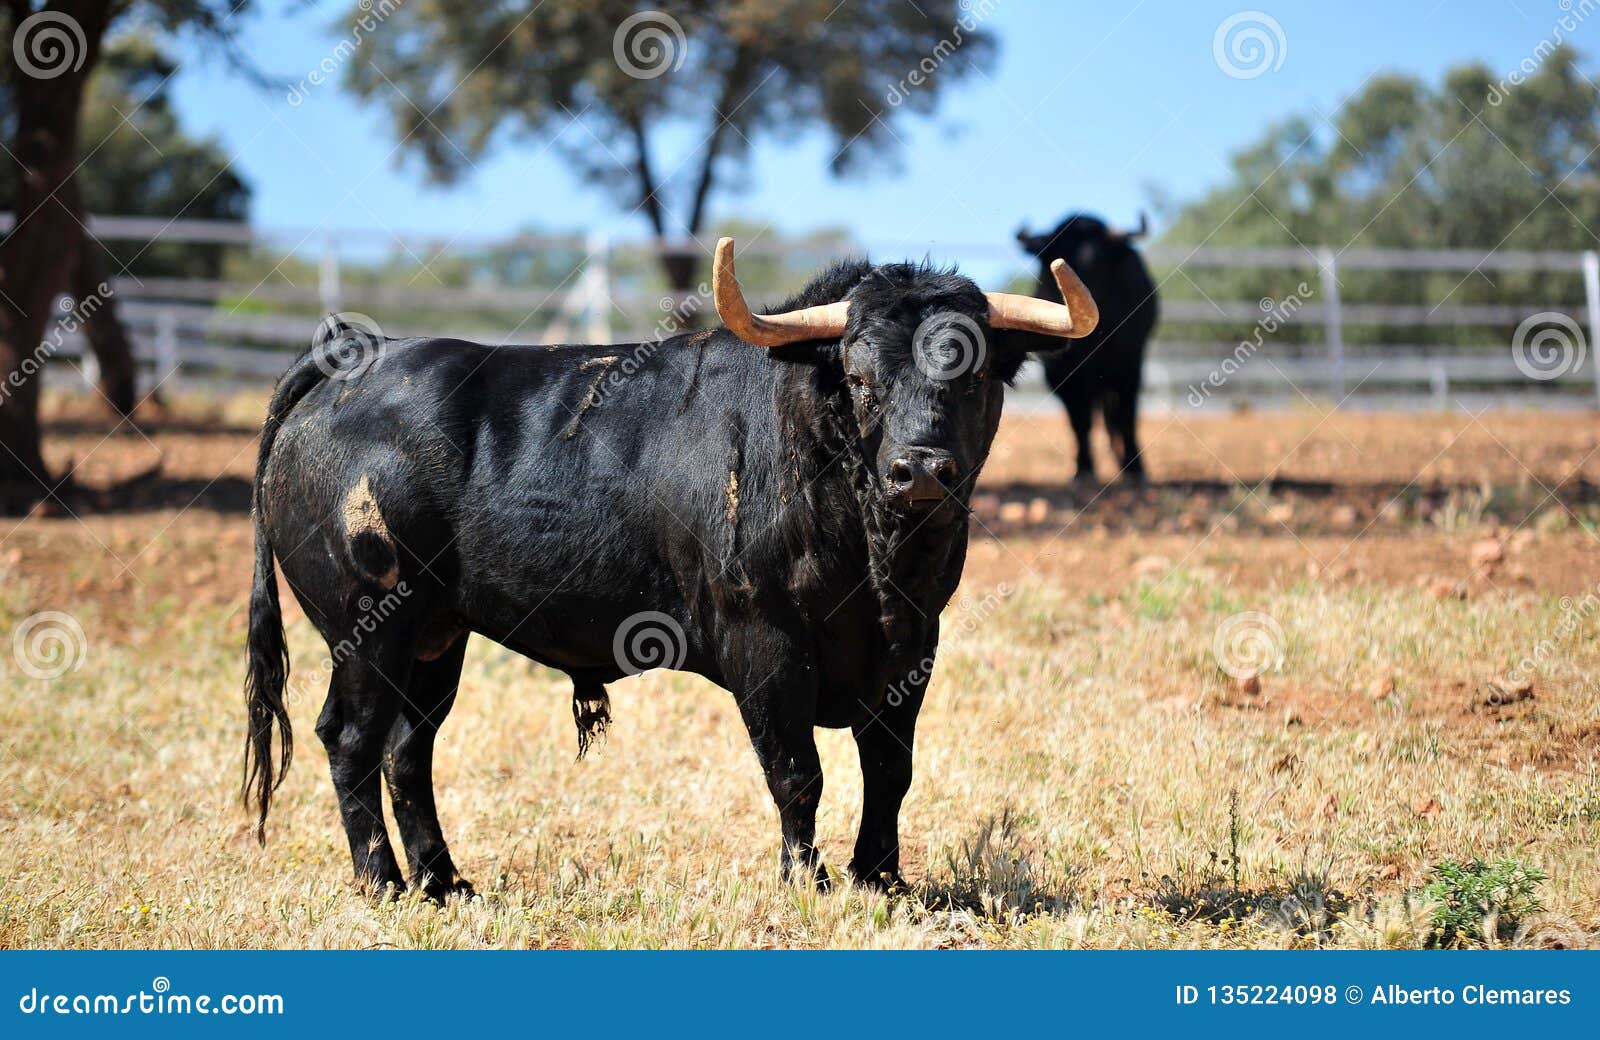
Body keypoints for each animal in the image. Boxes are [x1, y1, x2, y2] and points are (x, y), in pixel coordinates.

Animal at [242, 238, 1097, 900]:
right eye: (859, 376)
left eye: (974, 374)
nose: (918, 470)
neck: (873, 557)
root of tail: (352, 363)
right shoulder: (764, 645)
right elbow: (798, 770)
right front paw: (809, 882)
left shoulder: (913, 645)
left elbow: (890, 768)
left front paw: (880, 877)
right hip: (365, 626)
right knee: (351, 740)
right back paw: (384, 883)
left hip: (433, 637)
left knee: (406, 750)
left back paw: (445, 881)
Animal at [1016, 213, 1158, 482]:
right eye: (1047, 257)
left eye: (1094, 260)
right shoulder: (1061, 374)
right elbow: (1080, 420)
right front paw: (1083, 468)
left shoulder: (1131, 365)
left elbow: (1127, 415)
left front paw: (1136, 467)